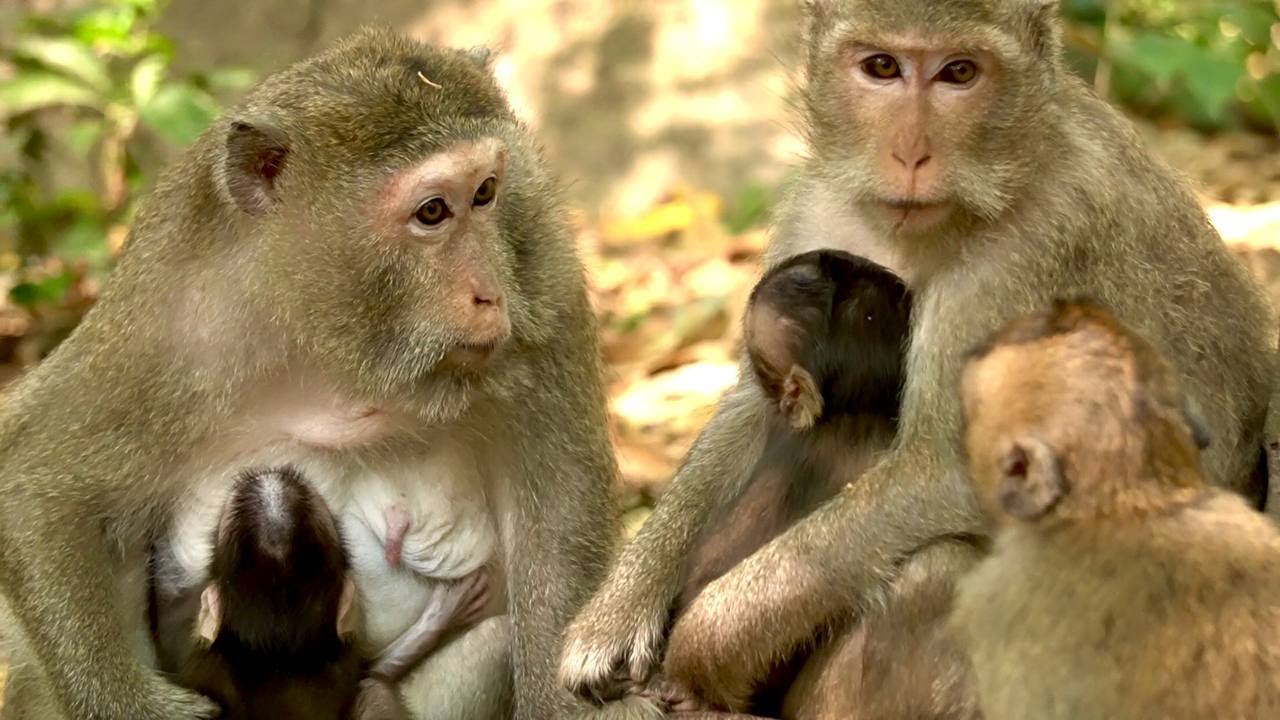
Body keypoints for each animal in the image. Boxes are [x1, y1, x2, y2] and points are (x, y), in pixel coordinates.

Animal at [0, 29, 657, 720]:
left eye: (485, 193)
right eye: (431, 211)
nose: (489, 295)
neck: (342, 353)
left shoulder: (547, 288)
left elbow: (555, 546)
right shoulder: (167, 324)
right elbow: (38, 490)